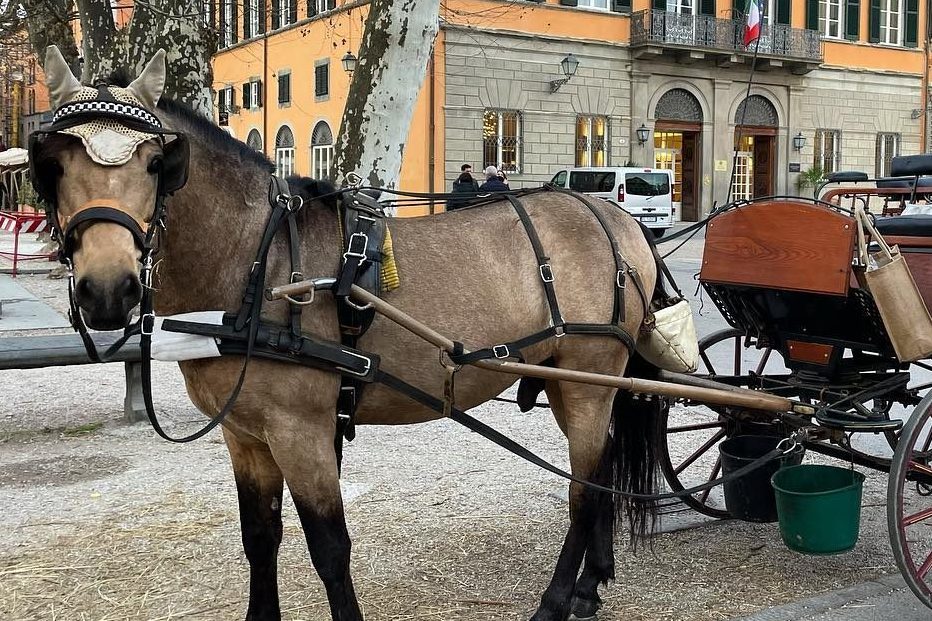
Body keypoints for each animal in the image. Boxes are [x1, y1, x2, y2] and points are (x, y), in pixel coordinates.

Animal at [32, 46, 665, 621]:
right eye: (53, 166)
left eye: (153, 164)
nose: (107, 289)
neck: (256, 262)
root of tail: (616, 218)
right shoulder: (245, 435)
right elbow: (259, 538)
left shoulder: (301, 432)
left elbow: (329, 548)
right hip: (567, 382)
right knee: (600, 469)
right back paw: (590, 584)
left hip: (587, 380)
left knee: (585, 490)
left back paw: (556, 600)